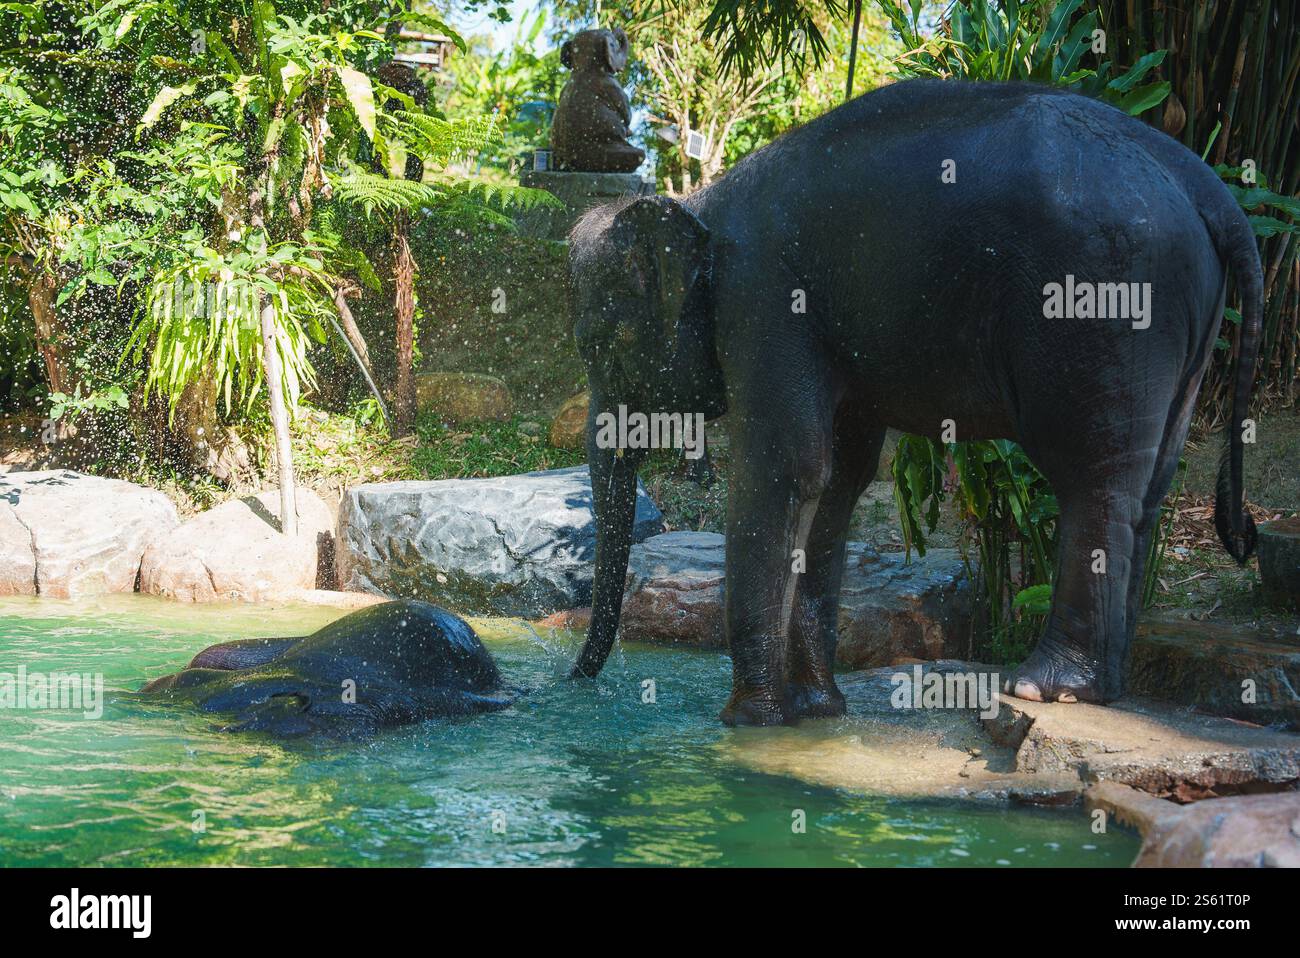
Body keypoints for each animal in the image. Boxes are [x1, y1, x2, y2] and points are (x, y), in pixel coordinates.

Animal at [566, 79, 1261, 726]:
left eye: (601, 344)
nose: (573, 683)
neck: (698, 207)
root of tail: (1210, 188)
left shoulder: (765, 299)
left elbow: (786, 469)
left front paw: (749, 722)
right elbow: (838, 480)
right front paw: (817, 710)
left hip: (1105, 304)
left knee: (1094, 478)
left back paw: (1045, 686)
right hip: (1179, 325)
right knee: (1149, 485)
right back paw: (1102, 690)